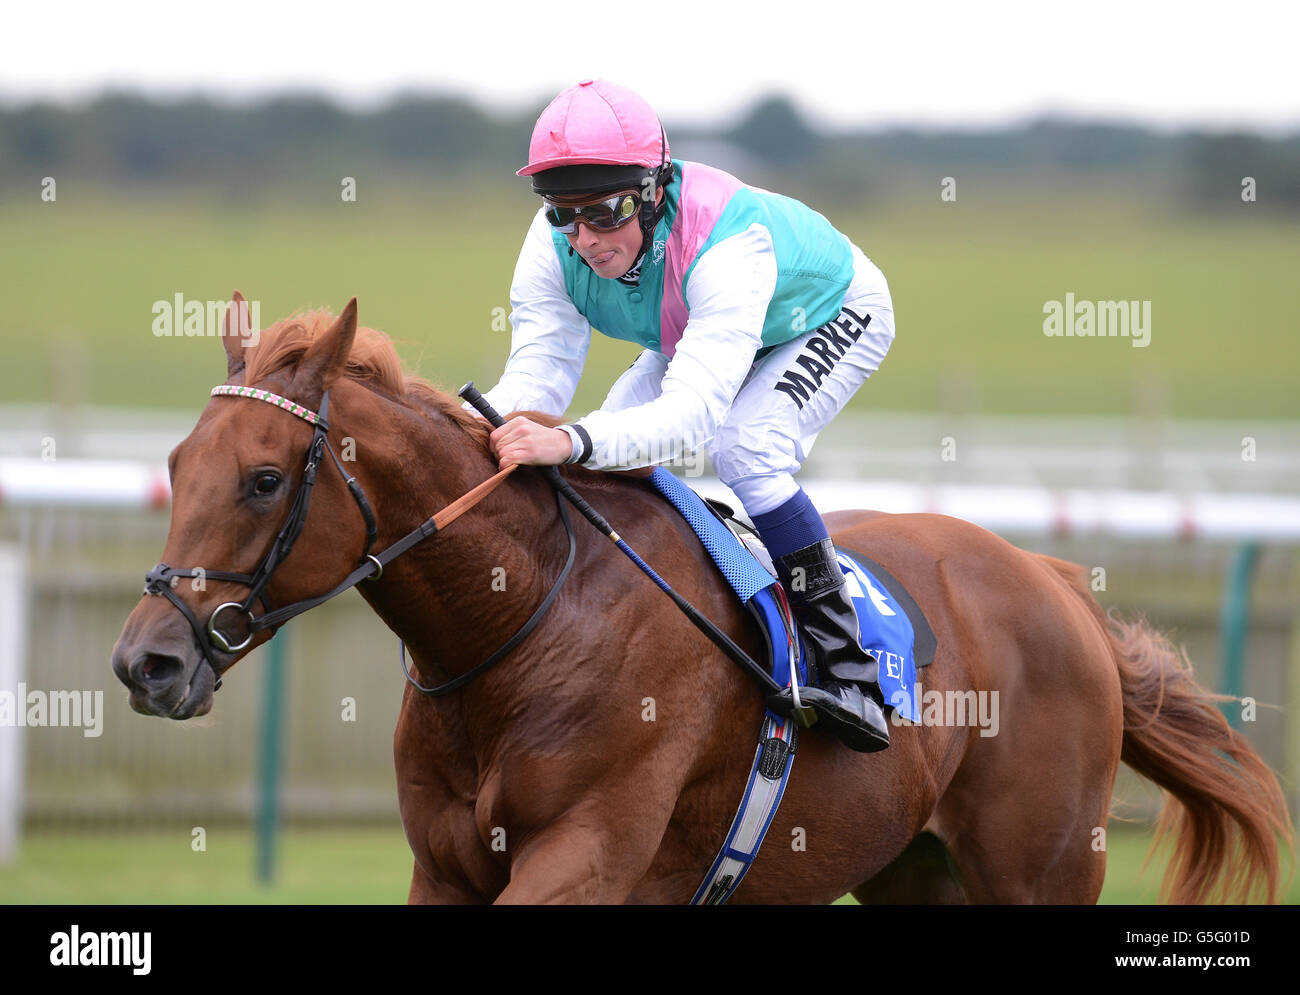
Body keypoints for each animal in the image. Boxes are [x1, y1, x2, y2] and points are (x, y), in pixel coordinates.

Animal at [111, 295, 1294, 904]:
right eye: (176, 460)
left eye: (265, 477)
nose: (146, 660)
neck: (519, 624)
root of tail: (1055, 583)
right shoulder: (445, 868)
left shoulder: (587, 855)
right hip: (917, 871)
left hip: (1040, 872)